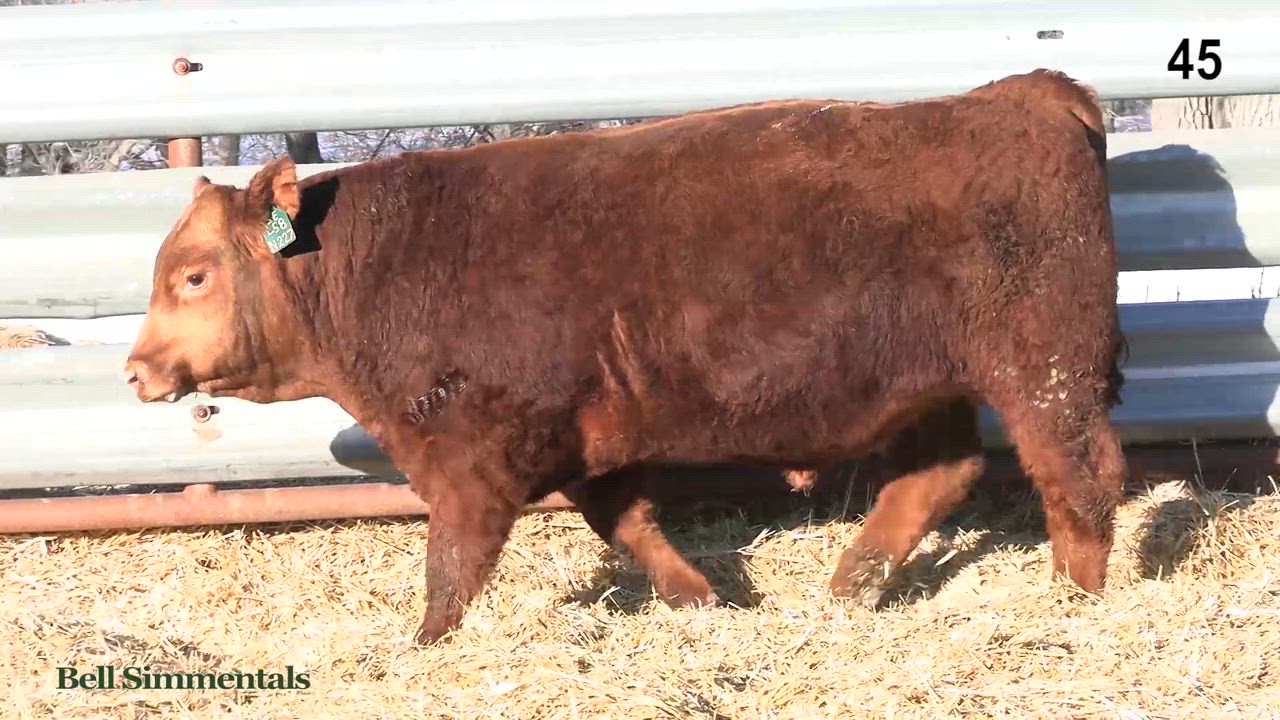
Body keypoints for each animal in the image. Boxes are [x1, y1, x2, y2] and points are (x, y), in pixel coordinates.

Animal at [124, 69, 1126, 646]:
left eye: (195, 276)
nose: (135, 370)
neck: (380, 265)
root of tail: (1021, 94)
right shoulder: (580, 442)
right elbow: (629, 525)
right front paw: (702, 599)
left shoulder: (474, 452)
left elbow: (453, 562)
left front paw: (422, 647)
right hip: (932, 385)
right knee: (940, 473)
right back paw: (853, 584)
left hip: (1047, 368)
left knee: (1077, 473)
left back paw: (1077, 600)